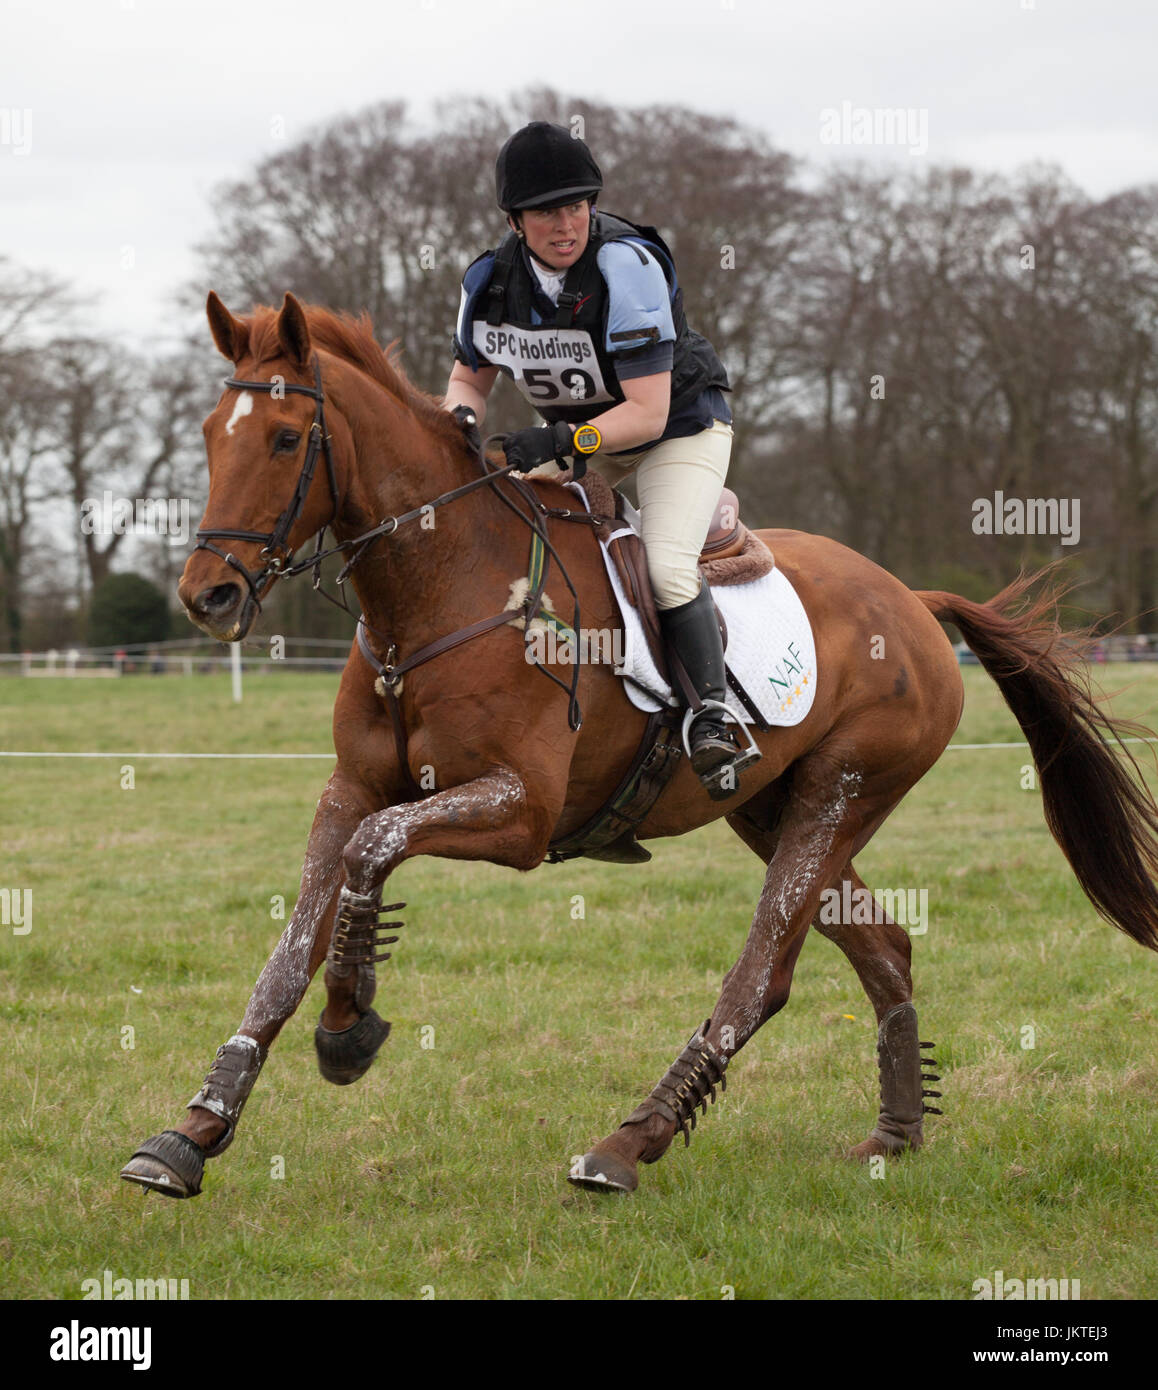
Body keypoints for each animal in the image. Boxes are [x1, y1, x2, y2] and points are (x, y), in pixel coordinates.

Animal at [120, 291, 1158, 1198]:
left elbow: (373, 860)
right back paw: (895, 1135)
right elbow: (292, 946)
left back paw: (628, 1143)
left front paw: (348, 1023)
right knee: (886, 949)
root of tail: (912, 598)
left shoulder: (521, 814)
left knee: (761, 978)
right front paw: (193, 1132)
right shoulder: (349, 792)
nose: (208, 595)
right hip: (773, 809)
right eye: (212, 436)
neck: (441, 587)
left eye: (286, 439)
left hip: (844, 790)